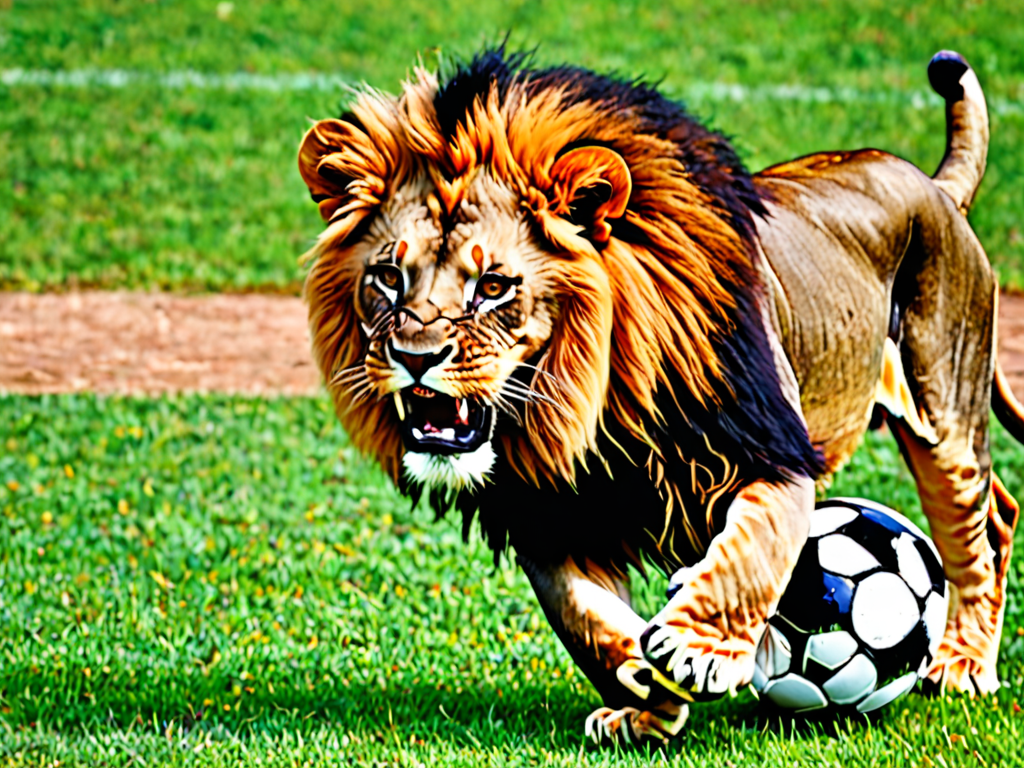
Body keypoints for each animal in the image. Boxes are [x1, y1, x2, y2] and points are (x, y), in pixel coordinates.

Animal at [297, 48, 1024, 743]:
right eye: (389, 277)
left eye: (494, 286)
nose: (414, 358)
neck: (591, 403)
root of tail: (932, 185)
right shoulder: (550, 513)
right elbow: (582, 617)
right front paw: (642, 695)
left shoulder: (772, 453)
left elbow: (751, 551)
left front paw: (694, 651)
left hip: (947, 407)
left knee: (983, 526)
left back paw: (961, 663)